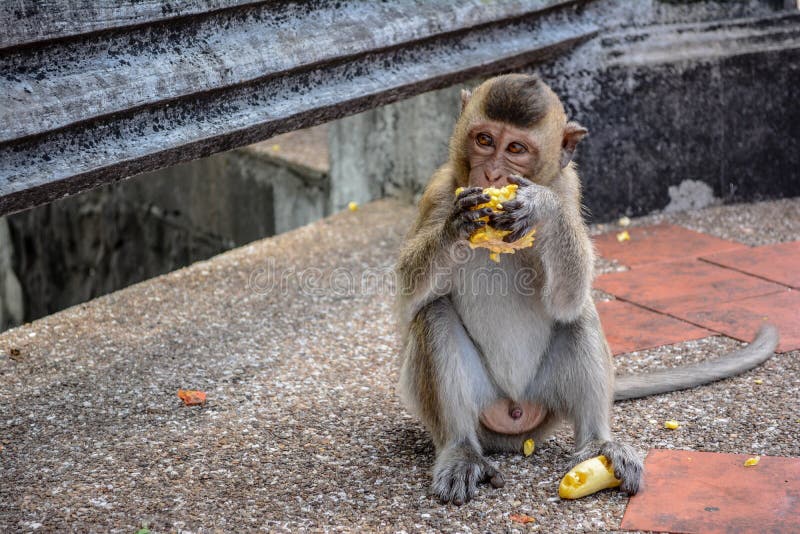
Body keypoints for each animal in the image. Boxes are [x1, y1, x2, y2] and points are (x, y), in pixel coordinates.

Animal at [395, 73, 779, 505]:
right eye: (484, 140)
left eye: (515, 149)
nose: (491, 176)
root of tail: (513, 421)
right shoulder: (439, 192)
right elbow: (409, 296)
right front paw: (457, 225)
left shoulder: (569, 188)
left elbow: (567, 299)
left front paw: (540, 205)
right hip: (482, 401)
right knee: (433, 313)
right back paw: (460, 451)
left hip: (545, 394)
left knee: (581, 313)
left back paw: (598, 444)